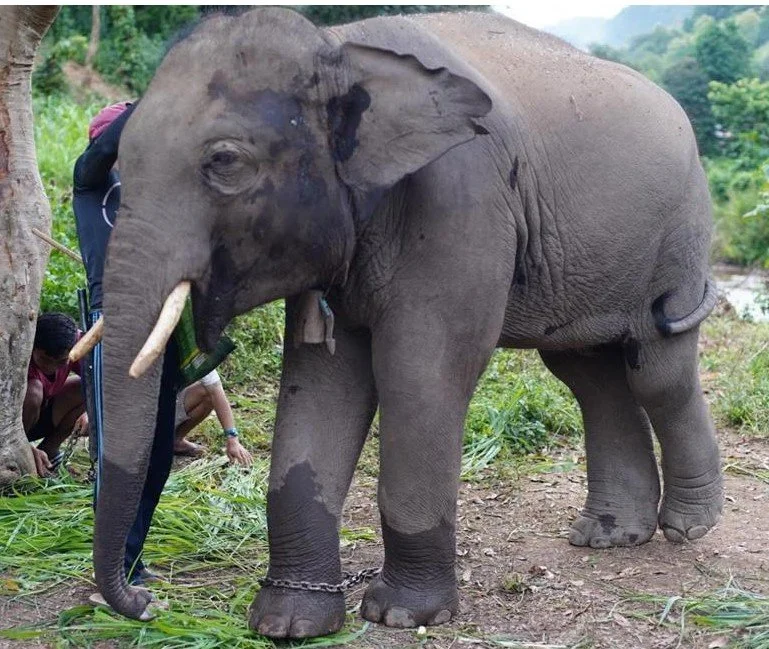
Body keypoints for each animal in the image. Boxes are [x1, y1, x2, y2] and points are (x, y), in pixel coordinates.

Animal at [92, 7, 723, 639]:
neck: (341, 48)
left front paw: (403, 614)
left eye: (224, 162)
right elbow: (319, 384)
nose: (147, 601)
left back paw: (689, 527)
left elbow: (421, 377)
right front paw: (288, 623)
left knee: (655, 371)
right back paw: (608, 537)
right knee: (588, 375)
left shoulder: (459, 200)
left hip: (680, 234)